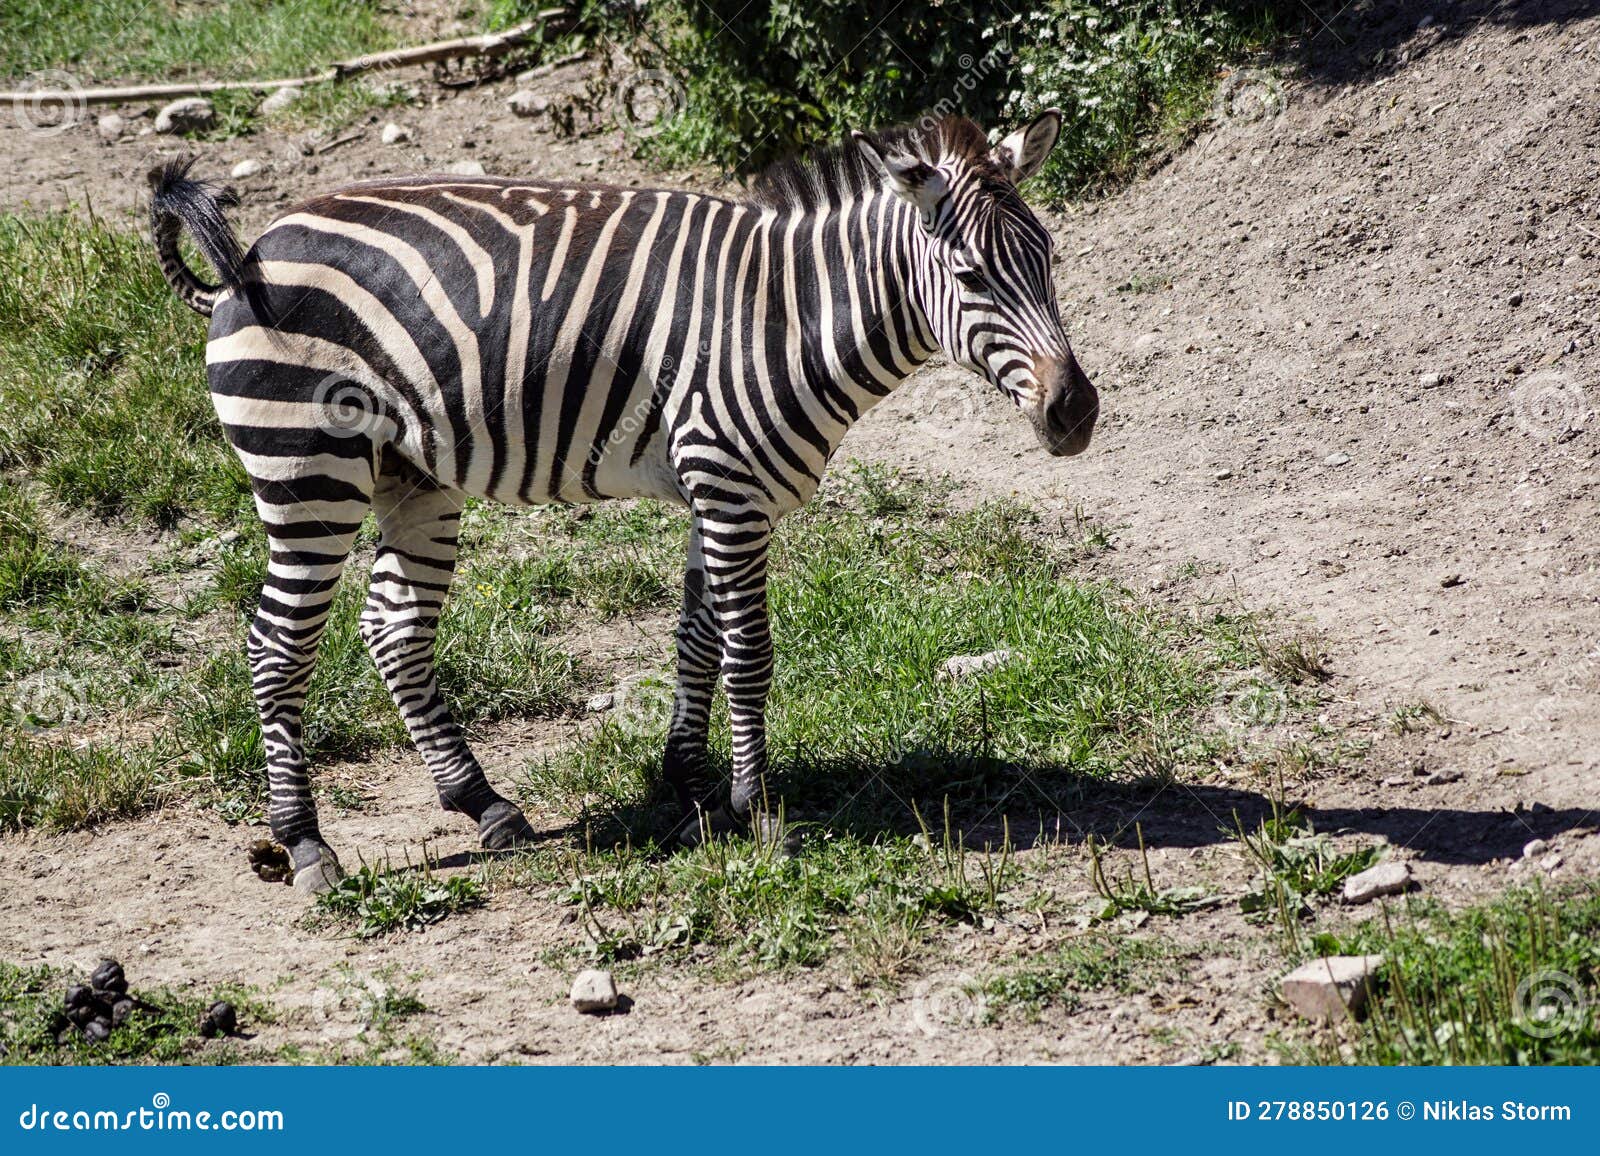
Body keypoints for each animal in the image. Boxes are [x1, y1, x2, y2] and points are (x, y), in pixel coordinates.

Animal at [149, 111, 1100, 893]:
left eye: (1050, 257)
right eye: (970, 276)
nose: (1076, 413)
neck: (783, 315)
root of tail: (250, 256)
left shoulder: (717, 488)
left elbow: (698, 637)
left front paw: (692, 785)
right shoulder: (728, 484)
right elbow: (750, 651)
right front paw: (760, 808)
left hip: (410, 476)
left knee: (393, 630)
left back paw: (483, 803)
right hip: (305, 469)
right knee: (276, 647)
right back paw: (305, 843)